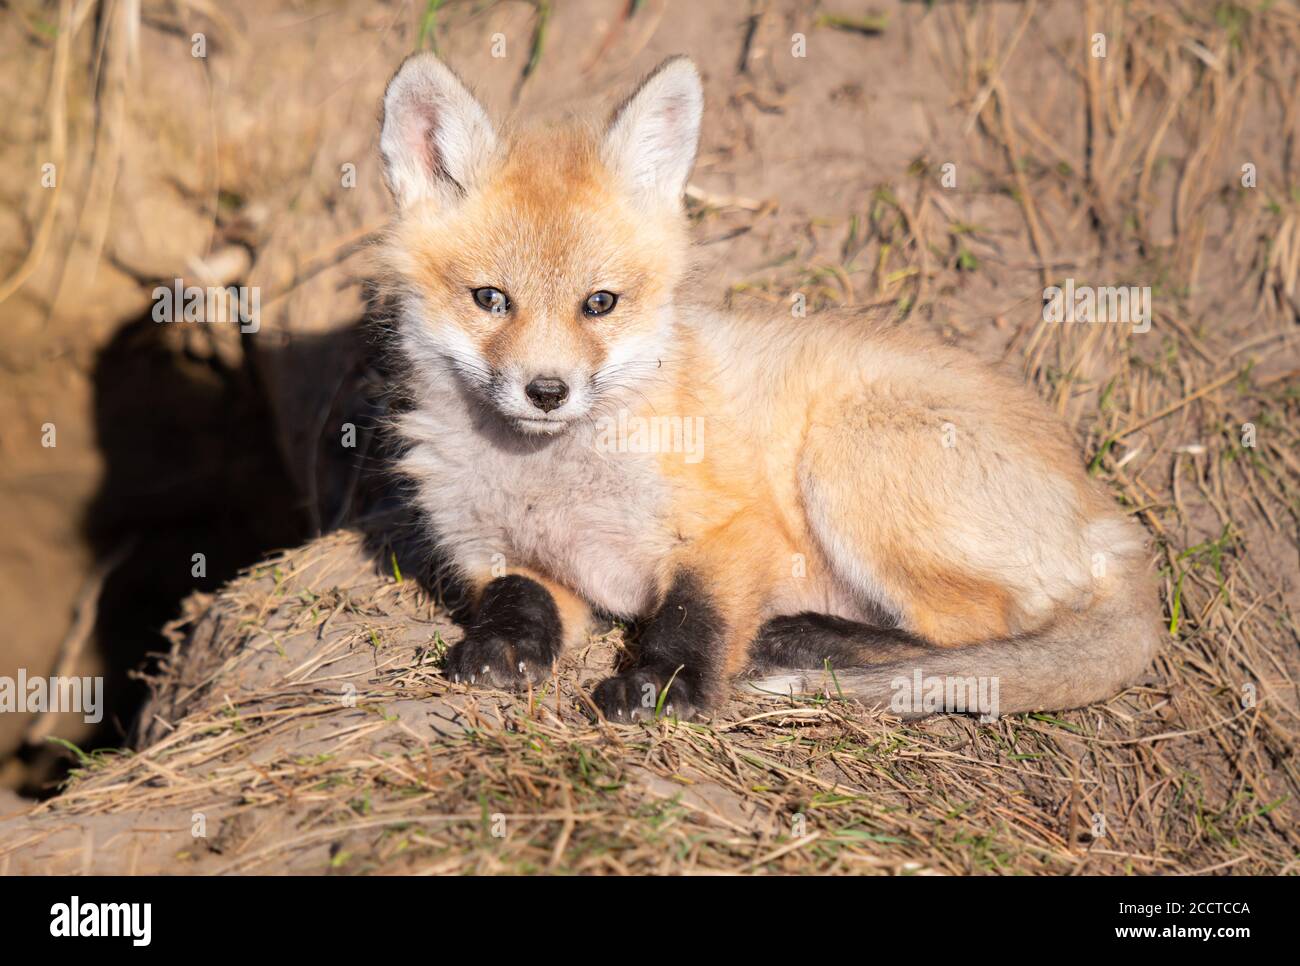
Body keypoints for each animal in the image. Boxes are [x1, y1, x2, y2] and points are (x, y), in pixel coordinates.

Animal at [376, 53, 1161, 722]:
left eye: (599, 303)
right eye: (490, 299)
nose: (546, 392)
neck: (549, 483)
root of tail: (1109, 517)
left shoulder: (731, 528)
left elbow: (693, 616)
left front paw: (661, 686)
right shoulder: (499, 555)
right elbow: (520, 601)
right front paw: (501, 648)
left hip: (846, 460)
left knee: (975, 632)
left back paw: (806, 639)